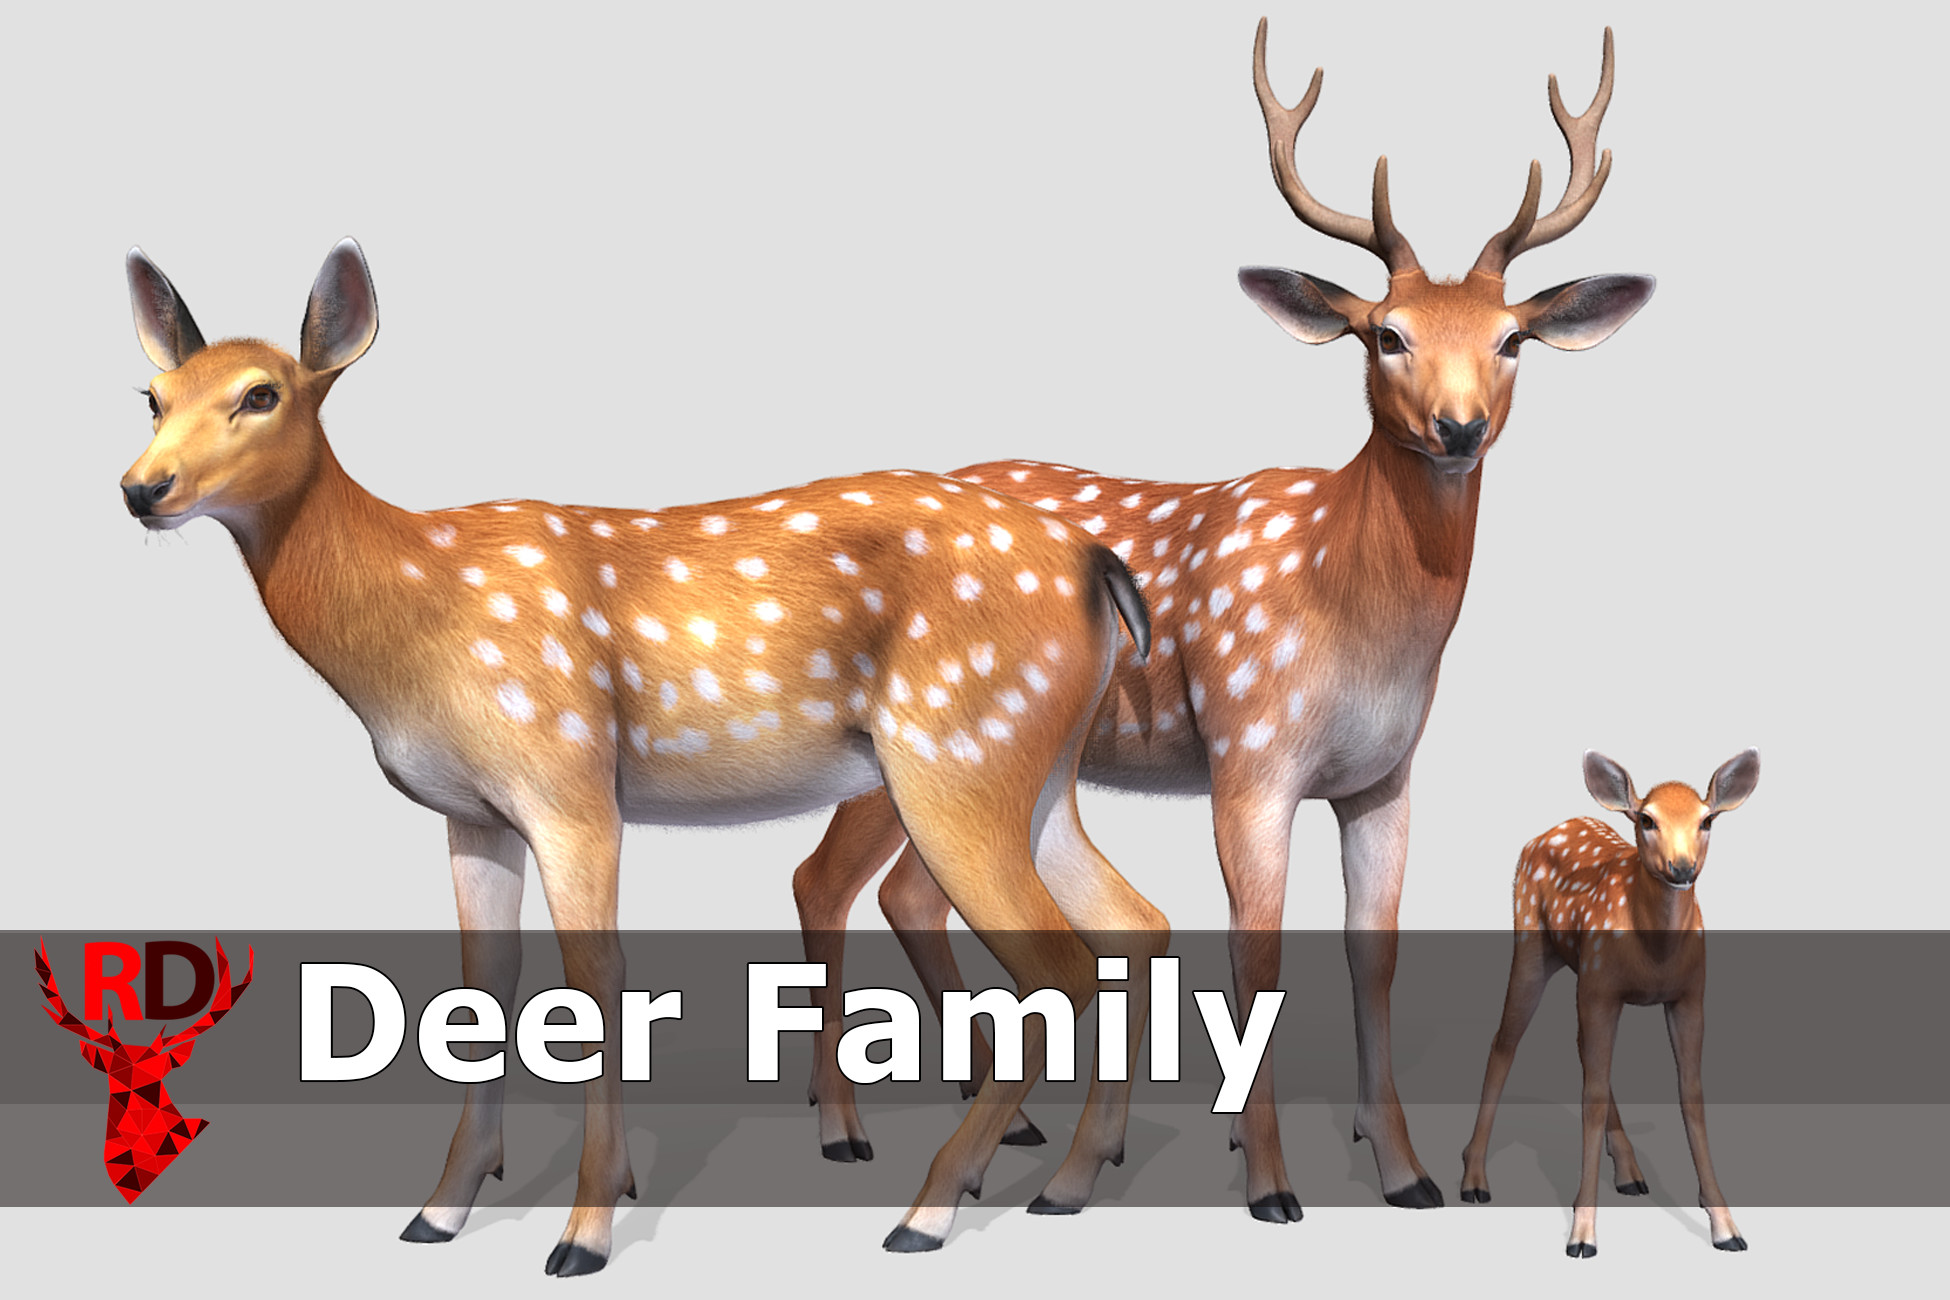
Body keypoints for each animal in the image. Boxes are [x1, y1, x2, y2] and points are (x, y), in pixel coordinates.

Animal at [118, 239, 1171, 1272]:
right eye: (153, 396)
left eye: (262, 393)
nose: (141, 489)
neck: (419, 615)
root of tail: (1094, 563)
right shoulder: (471, 814)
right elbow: (478, 991)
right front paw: (442, 1210)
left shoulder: (570, 782)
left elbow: (593, 980)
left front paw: (584, 1231)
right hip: (1037, 768)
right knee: (1132, 922)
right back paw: (1065, 1184)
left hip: (956, 748)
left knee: (1057, 963)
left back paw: (930, 1209)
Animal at [786, 19, 1657, 1222]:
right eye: (1383, 334)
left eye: (1513, 339)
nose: (1458, 426)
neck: (1353, 613)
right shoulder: (1250, 753)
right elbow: (1259, 956)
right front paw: (1273, 1183)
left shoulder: (1386, 775)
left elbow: (1373, 958)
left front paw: (1406, 1171)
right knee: (826, 878)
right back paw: (848, 1134)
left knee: (910, 890)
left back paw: (1014, 1131)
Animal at [1459, 749, 1760, 1257]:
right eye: (1646, 819)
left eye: (1707, 820)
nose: (1682, 868)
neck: (1654, 958)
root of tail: (1542, 833)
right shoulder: (1603, 991)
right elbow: (1591, 1099)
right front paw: (1582, 1234)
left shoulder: (1690, 996)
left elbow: (1691, 1096)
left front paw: (1725, 1224)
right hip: (1534, 947)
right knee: (1505, 1041)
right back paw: (1474, 1176)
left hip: (1585, 974)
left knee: (1580, 1047)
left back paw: (1630, 1172)